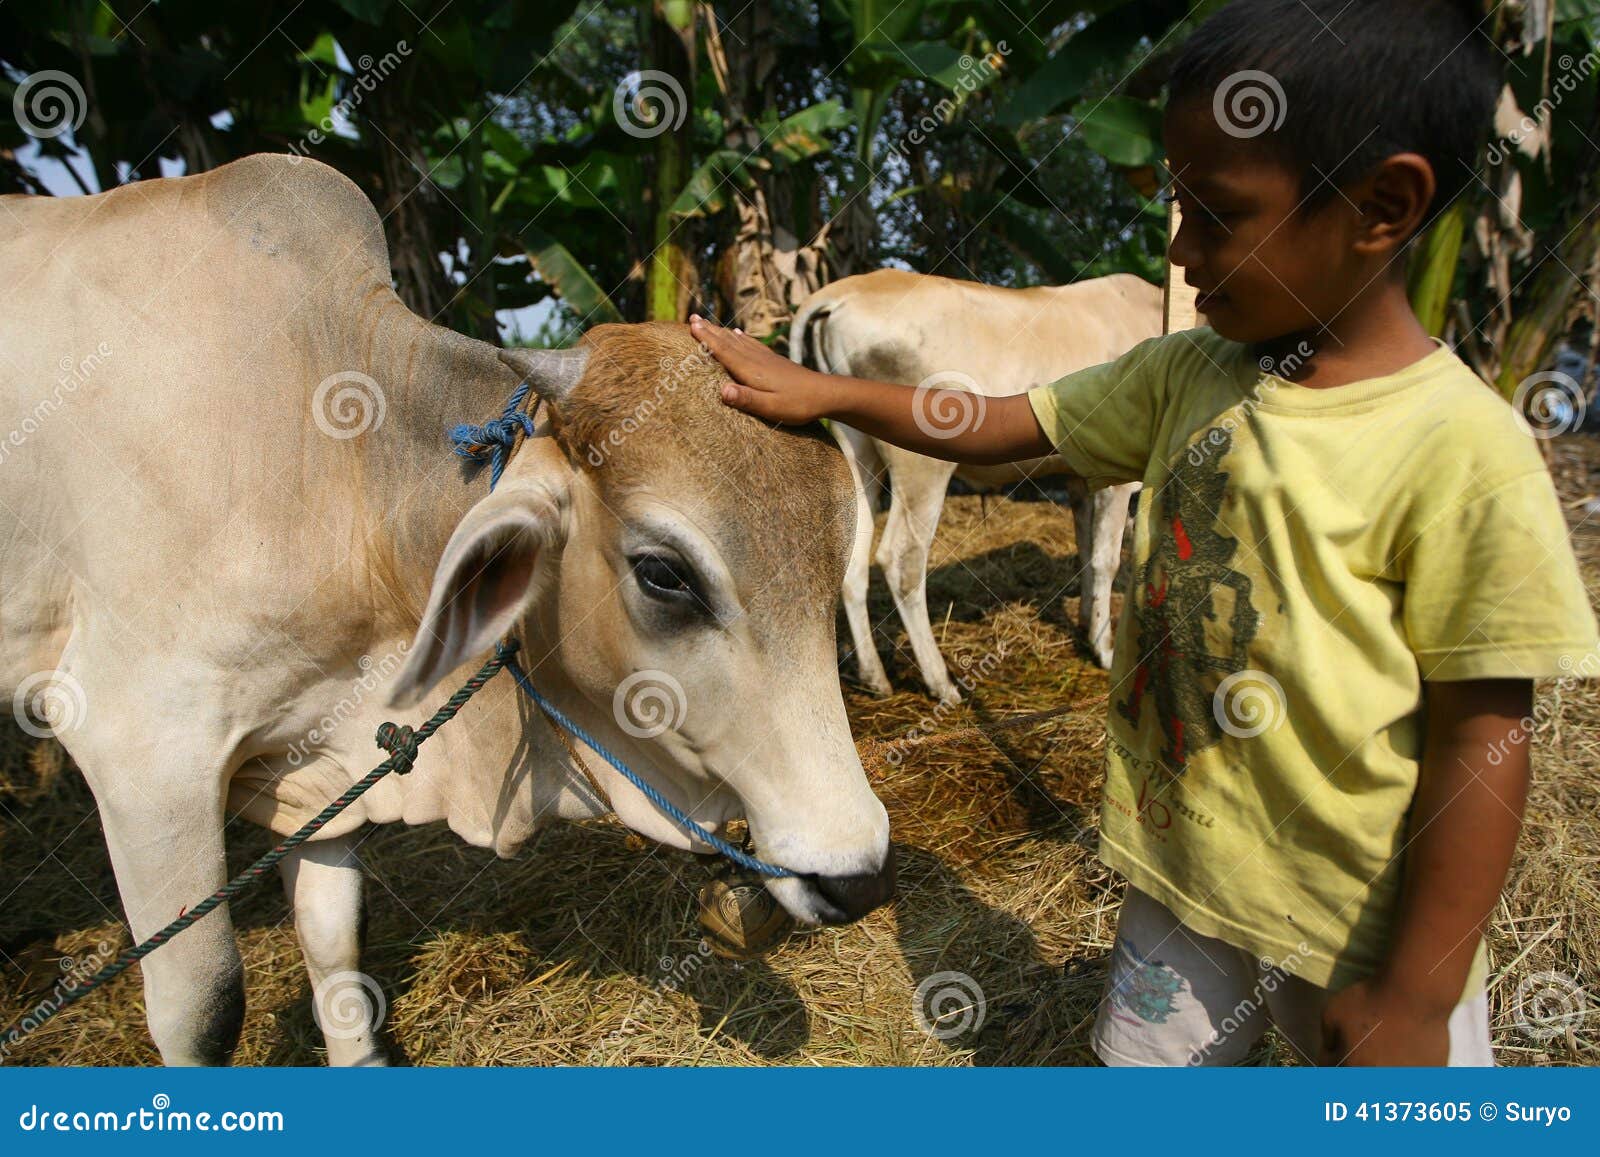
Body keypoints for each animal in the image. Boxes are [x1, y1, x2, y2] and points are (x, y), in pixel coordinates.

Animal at [0, 154, 893, 1066]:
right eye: (663, 574)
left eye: (832, 561)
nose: (860, 874)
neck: (334, 466)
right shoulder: (142, 754)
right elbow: (202, 1009)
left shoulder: (315, 760)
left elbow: (335, 946)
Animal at [790, 270, 1164, 704]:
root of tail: (847, 288)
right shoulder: (1115, 481)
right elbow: (1106, 560)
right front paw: (1104, 649)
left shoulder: (1077, 479)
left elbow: (1086, 552)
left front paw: (1087, 625)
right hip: (923, 464)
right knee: (902, 559)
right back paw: (941, 683)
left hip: (857, 449)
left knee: (854, 560)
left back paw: (875, 678)